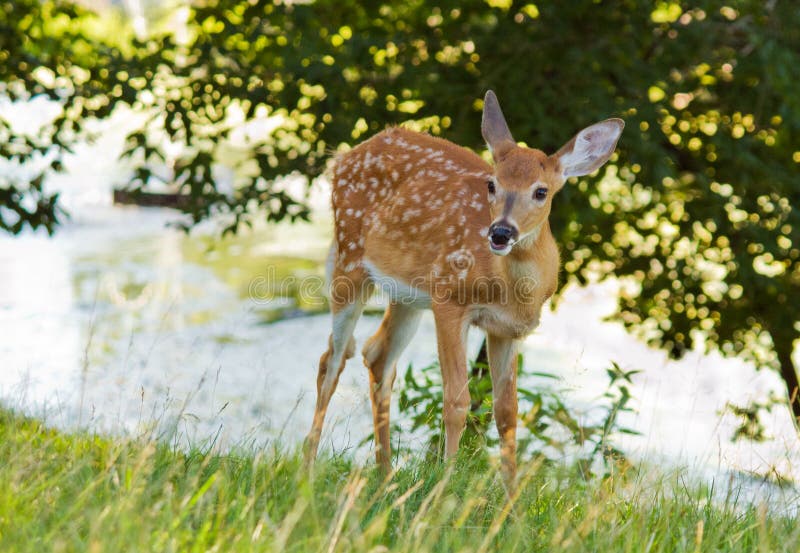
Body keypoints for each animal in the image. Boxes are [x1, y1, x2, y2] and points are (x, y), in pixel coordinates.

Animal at [304, 90, 623, 488]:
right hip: (350, 260)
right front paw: (444, 485)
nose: (500, 232)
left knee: (377, 356)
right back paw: (308, 469)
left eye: (541, 191)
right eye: (492, 184)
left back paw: (386, 474)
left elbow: (506, 412)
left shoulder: (509, 330)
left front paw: (511, 498)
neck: (510, 290)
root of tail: (343, 158)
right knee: (331, 360)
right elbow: (457, 401)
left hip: (406, 293)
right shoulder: (449, 301)